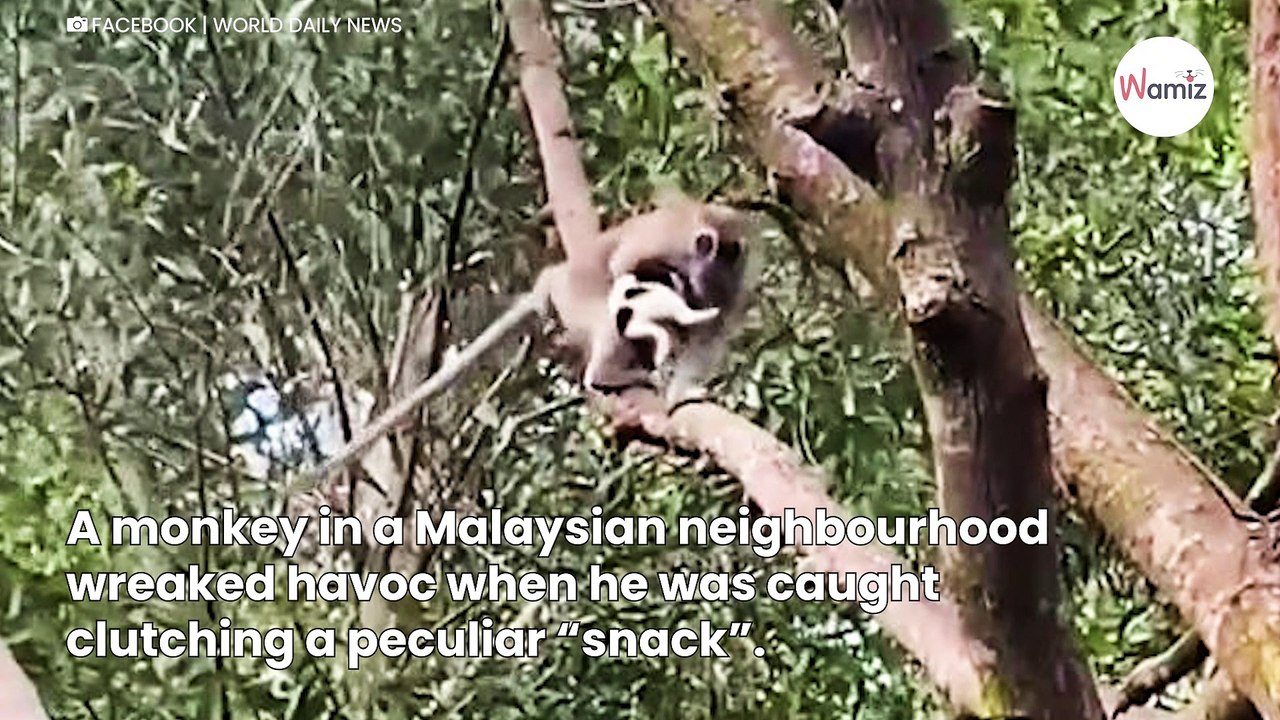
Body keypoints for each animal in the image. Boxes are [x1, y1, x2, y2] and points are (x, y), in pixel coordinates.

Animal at [307, 195, 749, 482]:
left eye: (730, 270)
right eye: (718, 264)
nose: (715, 289)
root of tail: (553, 278)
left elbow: (707, 336)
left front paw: (685, 388)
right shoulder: (667, 244)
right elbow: (627, 267)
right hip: (577, 297)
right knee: (619, 301)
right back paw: (608, 372)